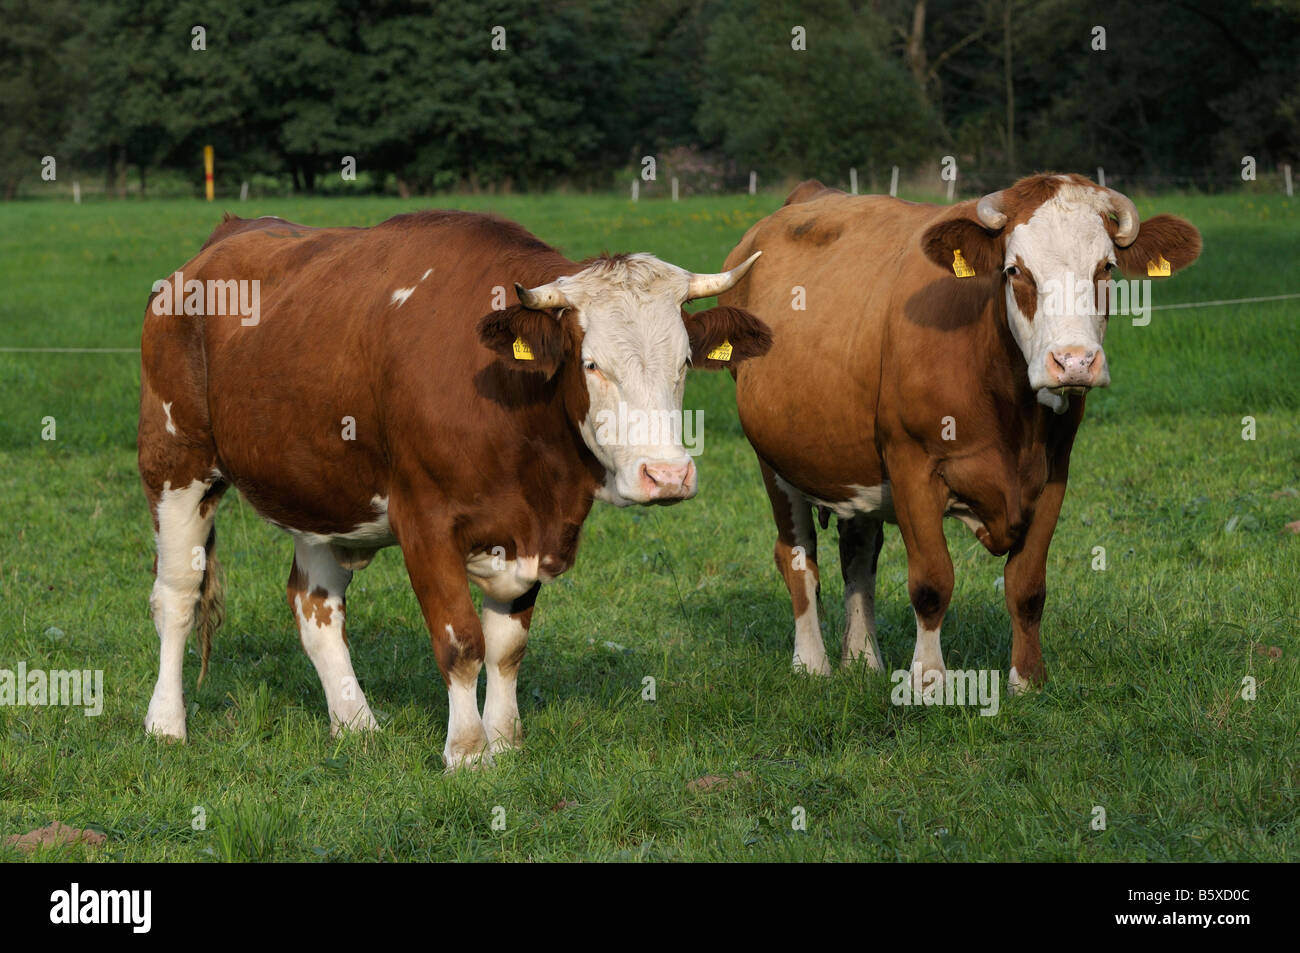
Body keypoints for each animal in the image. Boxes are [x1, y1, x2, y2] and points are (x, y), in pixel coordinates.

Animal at [138, 209, 770, 768]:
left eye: (685, 361)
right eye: (591, 364)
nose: (667, 476)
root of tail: (226, 236)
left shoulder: (526, 532)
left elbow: (506, 648)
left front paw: (505, 743)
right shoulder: (426, 522)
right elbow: (462, 642)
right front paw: (466, 752)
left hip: (319, 490)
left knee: (314, 606)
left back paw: (357, 725)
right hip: (175, 462)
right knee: (176, 596)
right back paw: (166, 724)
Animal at [719, 173, 1201, 694]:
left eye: (1106, 267)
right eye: (1014, 270)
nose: (1074, 361)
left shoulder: (1055, 472)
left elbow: (1028, 585)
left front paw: (1027, 680)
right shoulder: (912, 465)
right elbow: (932, 581)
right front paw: (927, 681)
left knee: (858, 555)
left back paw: (863, 659)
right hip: (774, 461)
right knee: (798, 558)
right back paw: (812, 664)